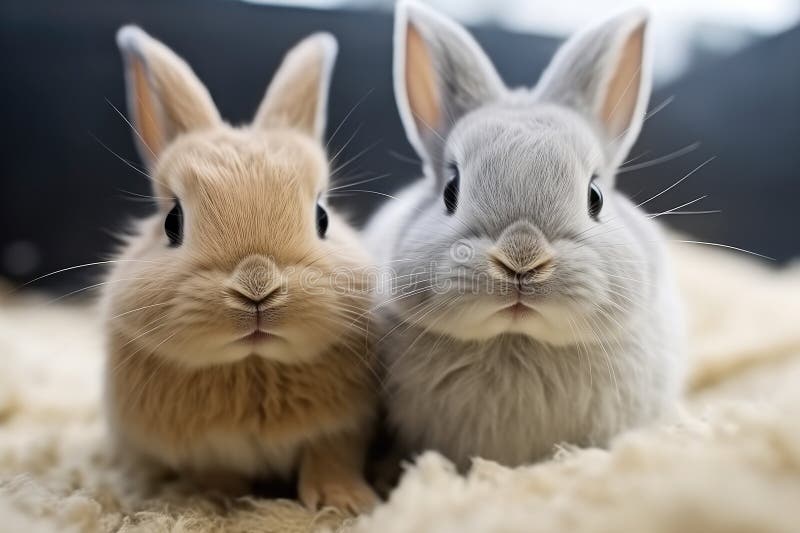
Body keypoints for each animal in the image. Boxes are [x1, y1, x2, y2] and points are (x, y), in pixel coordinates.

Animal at [102, 26, 379, 513]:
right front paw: (214, 503)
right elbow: (218, 472)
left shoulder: (342, 429)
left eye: (323, 218)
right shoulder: (204, 449)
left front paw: (344, 503)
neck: (253, 366)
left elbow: (330, 457)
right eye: (173, 222)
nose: (257, 286)